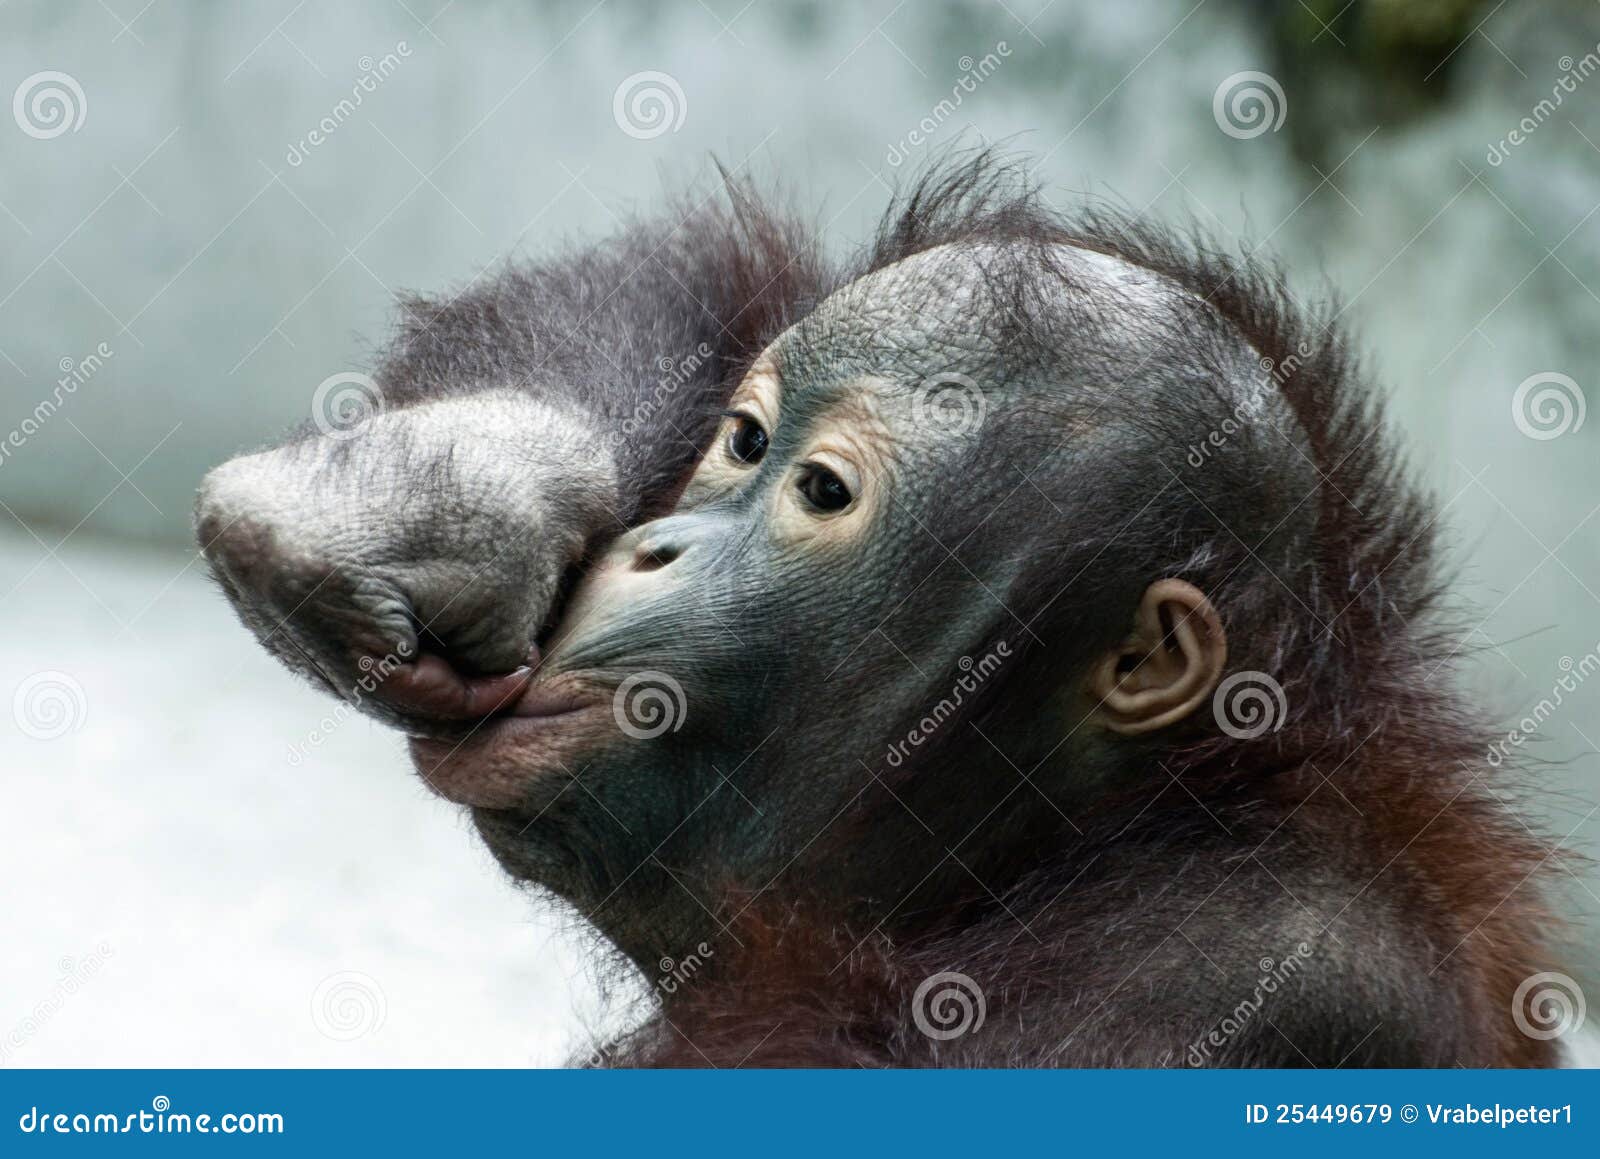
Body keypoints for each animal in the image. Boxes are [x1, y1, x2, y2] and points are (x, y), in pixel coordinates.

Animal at [195, 157, 1559, 1067]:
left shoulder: (1241, 979)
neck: (1105, 835)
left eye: (821, 492)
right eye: (742, 440)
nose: (651, 547)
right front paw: (439, 493)